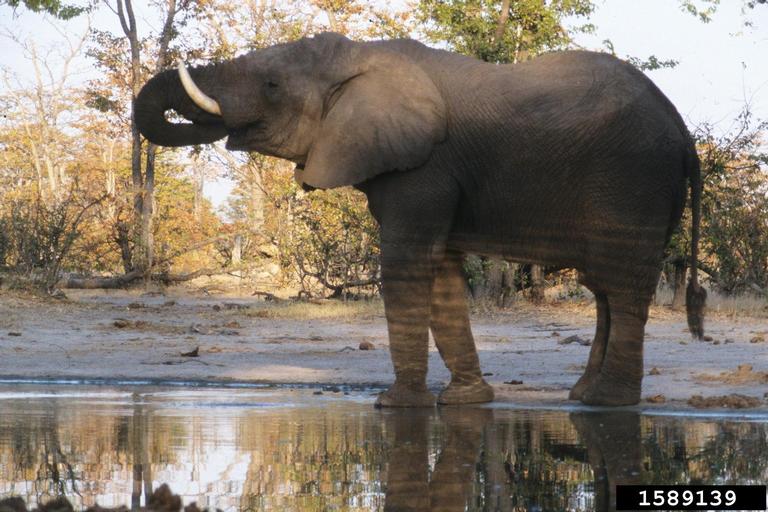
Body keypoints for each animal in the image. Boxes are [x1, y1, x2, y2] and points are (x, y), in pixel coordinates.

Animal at [134, 32, 706, 407]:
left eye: (272, 85)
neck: (362, 56)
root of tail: (684, 130)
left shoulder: (423, 166)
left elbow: (408, 265)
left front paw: (394, 405)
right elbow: (444, 271)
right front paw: (465, 402)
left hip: (633, 180)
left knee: (621, 286)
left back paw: (608, 404)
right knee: (605, 288)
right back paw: (584, 397)